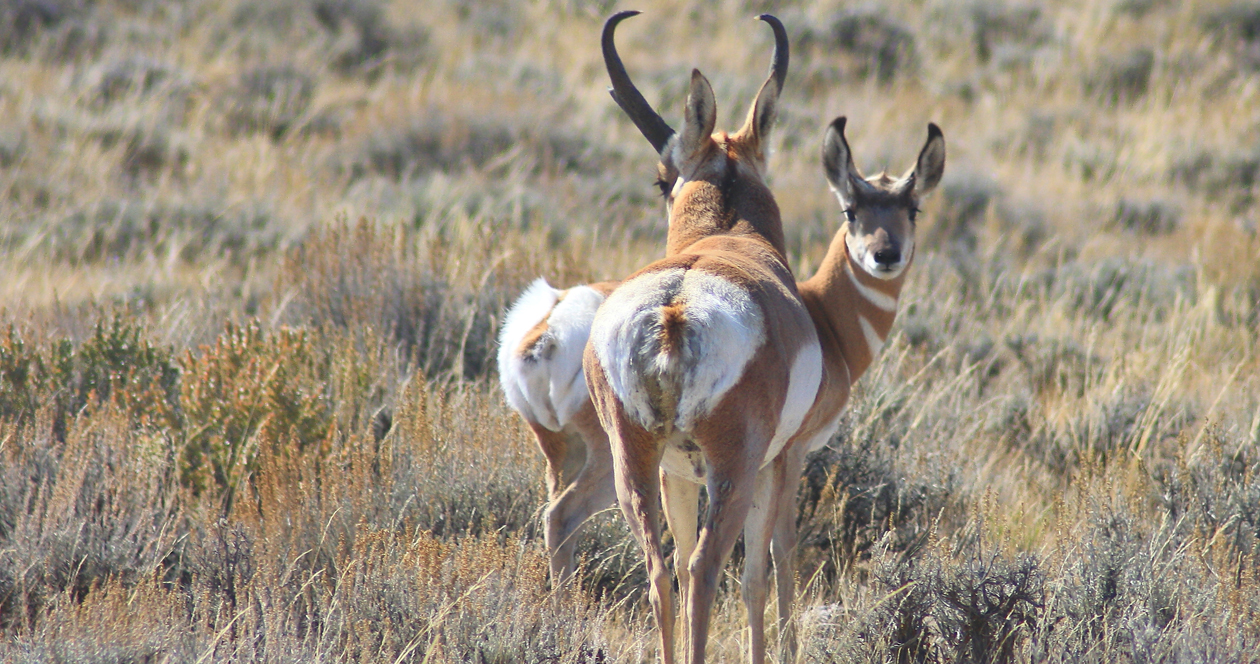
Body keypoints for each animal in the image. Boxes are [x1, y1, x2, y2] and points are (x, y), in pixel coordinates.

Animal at [502, 117, 944, 662]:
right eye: (851, 208)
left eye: (911, 207)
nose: (885, 255)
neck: (824, 320)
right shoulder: (788, 457)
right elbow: (776, 556)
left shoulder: (683, 473)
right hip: (687, 467)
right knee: (682, 558)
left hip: (607, 460)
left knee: (615, 548)